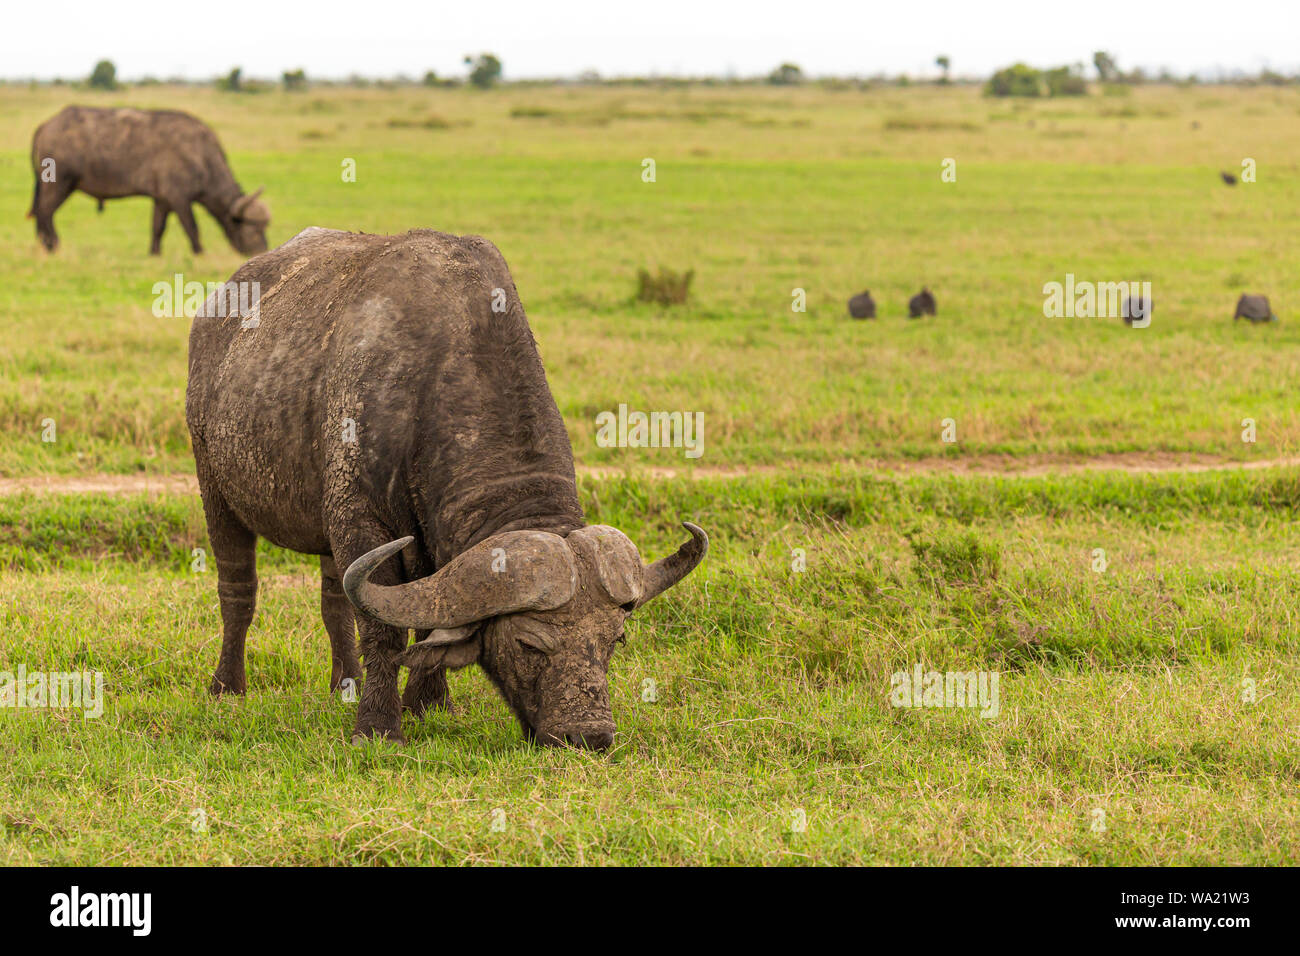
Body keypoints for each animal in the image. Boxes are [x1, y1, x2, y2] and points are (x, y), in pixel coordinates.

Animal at [29, 106, 269, 255]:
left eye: (264, 227)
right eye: (253, 229)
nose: (262, 250)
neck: (201, 155)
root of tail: (46, 125)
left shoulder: (162, 200)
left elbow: (157, 227)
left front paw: (154, 252)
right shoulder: (179, 198)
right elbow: (192, 228)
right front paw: (200, 252)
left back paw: (44, 245)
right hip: (60, 184)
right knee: (45, 212)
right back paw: (53, 245)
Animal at [186, 228, 707, 749]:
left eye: (614, 639)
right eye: (527, 643)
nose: (587, 734)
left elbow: (431, 617)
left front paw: (428, 703)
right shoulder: (361, 518)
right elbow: (383, 629)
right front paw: (378, 725)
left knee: (333, 601)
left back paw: (344, 684)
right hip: (215, 488)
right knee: (238, 590)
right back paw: (227, 685)